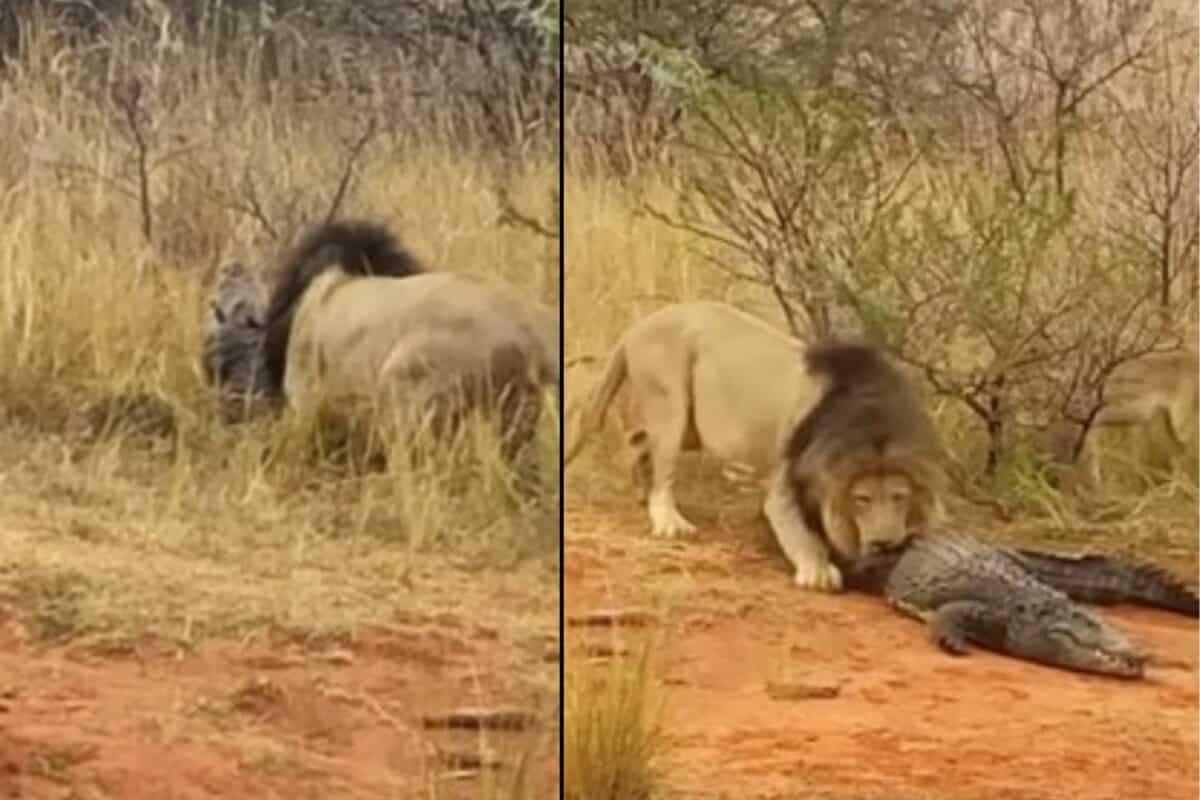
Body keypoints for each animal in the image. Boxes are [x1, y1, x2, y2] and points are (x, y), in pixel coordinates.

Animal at [202, 219, 560, 466]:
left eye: (217, 326)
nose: (229, 265)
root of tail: (532, 325)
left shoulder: (305, 401)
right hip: (516, 412)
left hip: (405, 384)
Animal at [565, 301, 947, 592]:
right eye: (862, 499)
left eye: (899, 497)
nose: (885, 543)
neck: (867, 418)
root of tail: (638, 326)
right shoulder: (785, 480)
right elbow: (799, 531)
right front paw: (818, 572)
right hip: (670, 401)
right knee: (663, 469)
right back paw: (669, 522)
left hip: (692, 428)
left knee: (637, 444)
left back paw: (639, 495)